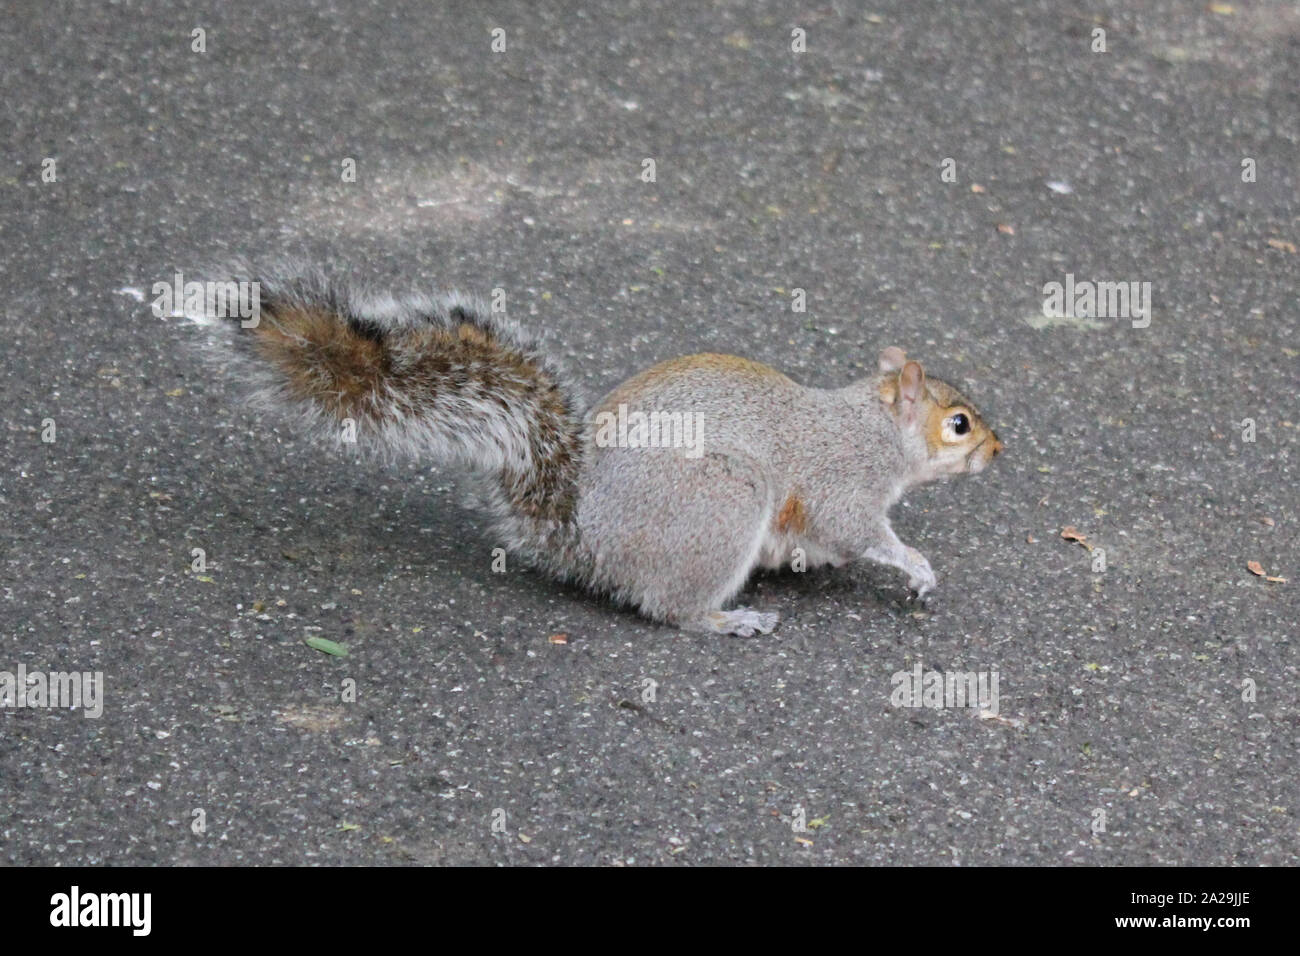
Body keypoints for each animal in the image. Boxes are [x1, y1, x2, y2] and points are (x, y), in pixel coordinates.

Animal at [190, 266, 1003, 636]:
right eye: (959, 423)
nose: (999, 448)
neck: (876, 426)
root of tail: (583, 537)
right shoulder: (843, 480)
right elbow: (855, 527)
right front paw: (915, 565)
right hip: (722, 503)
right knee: (670, 606)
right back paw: (726, 619)